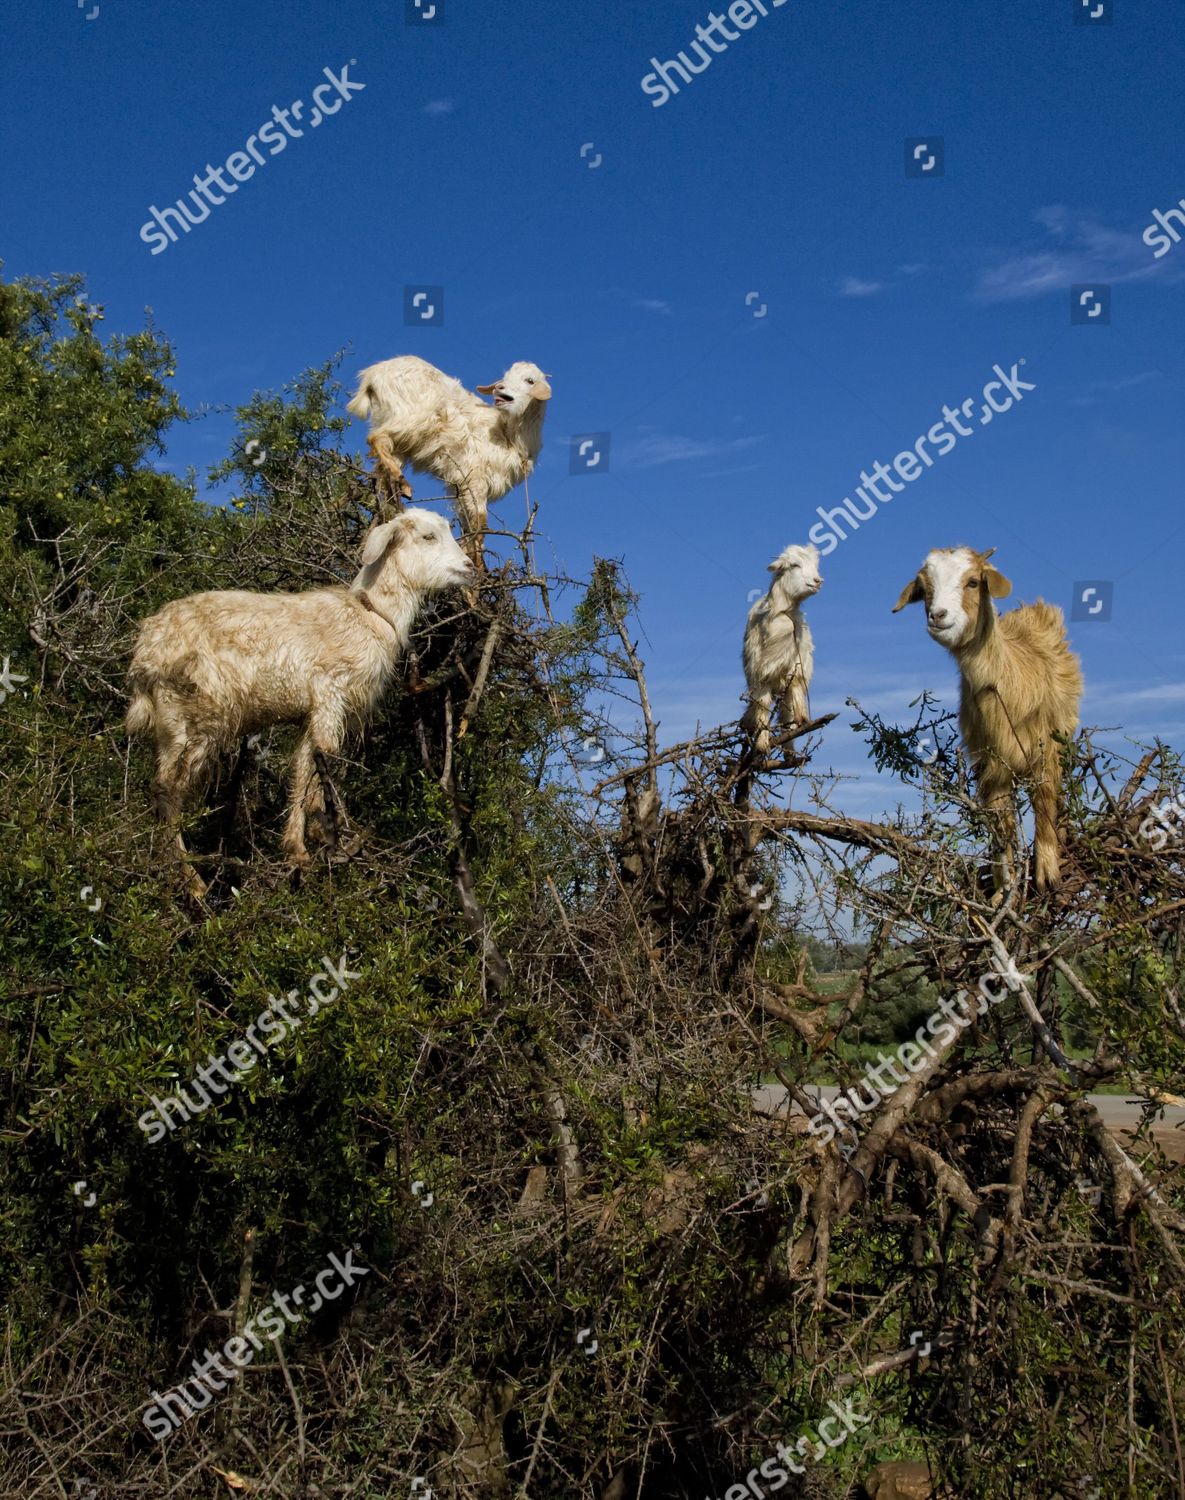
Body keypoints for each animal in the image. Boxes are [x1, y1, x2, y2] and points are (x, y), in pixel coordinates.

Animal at [126, 509, 473, 894]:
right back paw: (190, 880)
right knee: (168, 789)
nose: (469, 566)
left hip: (171, 720)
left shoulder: (313, 710)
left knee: (161, 782)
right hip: (199, 710)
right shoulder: (330, 692)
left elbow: (303, 765)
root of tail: (146, 650)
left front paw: (298, 850)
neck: (369, 615)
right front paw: (329, 833)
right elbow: (326, 756)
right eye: (428, 537)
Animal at [346, 356, 551, 554]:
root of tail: (373, 374)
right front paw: (477, 560)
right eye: (506, 376)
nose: (499, 388)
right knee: (376, 437)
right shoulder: (475, 477)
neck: (506, 434)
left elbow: (467, 524)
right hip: (412, 419)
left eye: (530, 380)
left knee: (382, 466)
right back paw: (402, 485)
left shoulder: (462, 484)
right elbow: (480, 524)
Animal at [741, 543, 823, 754]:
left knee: (786, 711)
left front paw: (802, 721)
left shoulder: (797, 667)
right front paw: (762, 744)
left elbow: (795, 693)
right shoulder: (761, 674)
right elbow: (762, 707)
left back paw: (791, 752)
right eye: (794, 565)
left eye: (815, 565)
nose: (818, 581)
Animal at [893, 545, 1082, 892]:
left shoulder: (1044, 748)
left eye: (972, 582)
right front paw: (1004, 885)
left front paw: (1047, 872)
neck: (1008, 683)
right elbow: (1001, 828)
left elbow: (1044, 802)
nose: (938, 616)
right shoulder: (989, 765)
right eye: (925, 588)